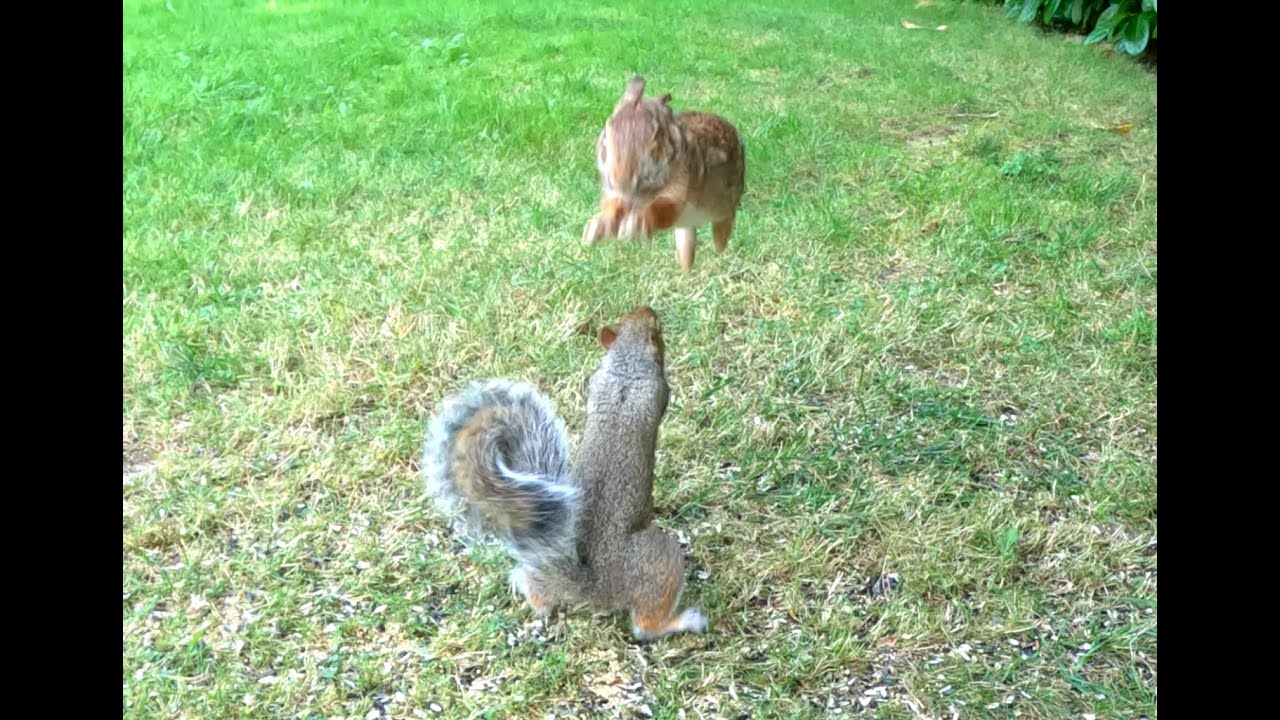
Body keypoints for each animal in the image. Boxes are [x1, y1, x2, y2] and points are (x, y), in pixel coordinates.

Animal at [423, 306, 707, 640]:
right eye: (656, 328)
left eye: (628, 319)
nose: (649, 309)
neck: (626, 368)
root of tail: (593, 589)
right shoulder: (658, 390)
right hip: (660, 561)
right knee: (645, 624)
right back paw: (685, 621)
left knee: (542, 599)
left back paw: (523, 584)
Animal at [582, 76, 746, 273]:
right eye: (606, 135)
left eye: (656, 136)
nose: (622, 179)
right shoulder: (614, 194)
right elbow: (611, 209)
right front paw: (593, 231)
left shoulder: (677, 193)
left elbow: (660, 211)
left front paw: (632, 226)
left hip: (724, 205)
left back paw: (719, 248)